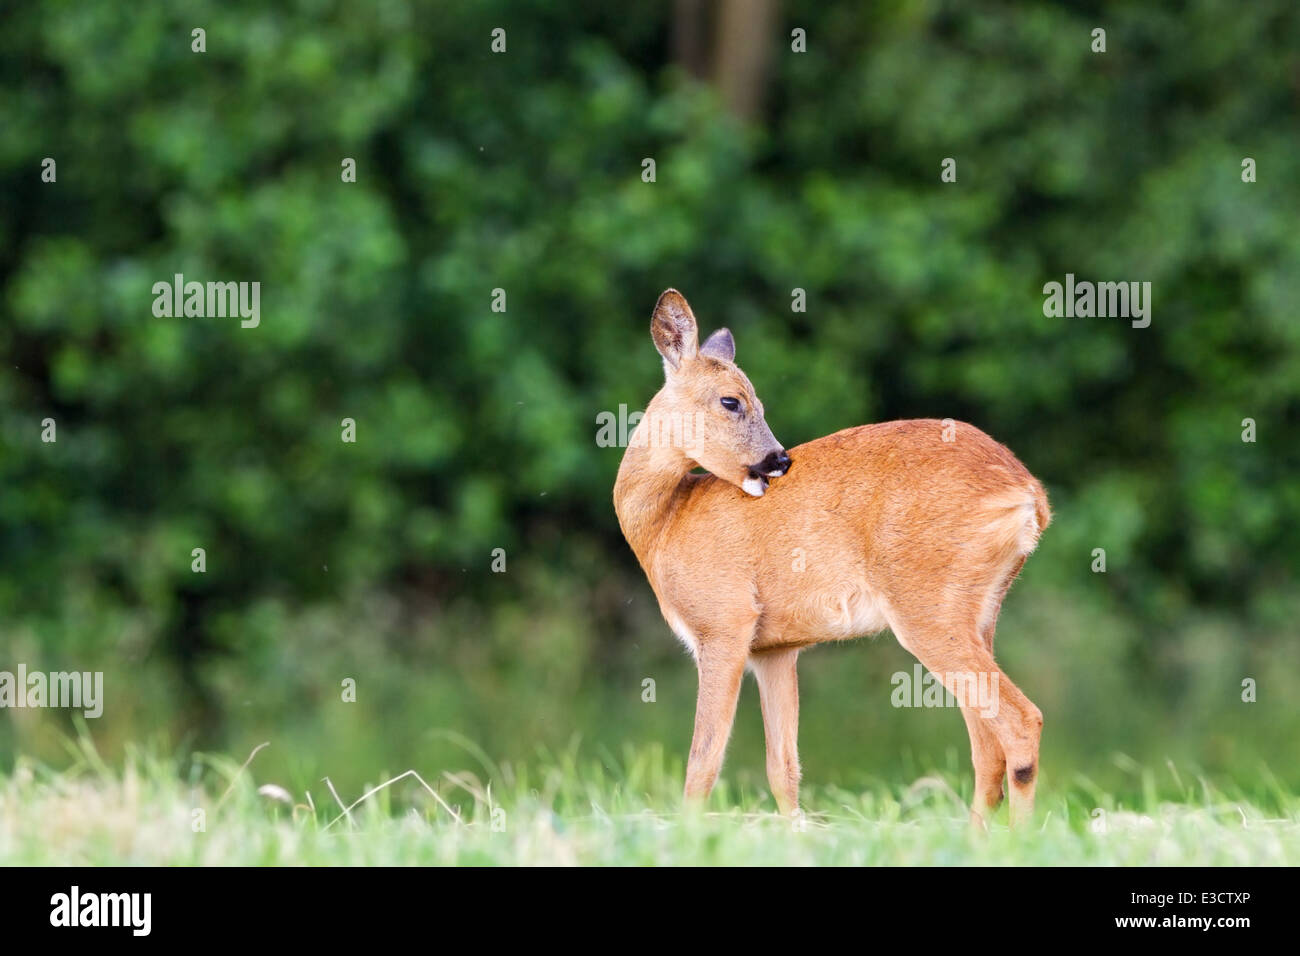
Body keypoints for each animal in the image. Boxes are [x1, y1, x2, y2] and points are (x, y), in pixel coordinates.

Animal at [613, 289, 1051, 827]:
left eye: (752, 400)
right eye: (731, 400)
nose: (779, 460)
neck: (666, 524)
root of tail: (1029, 493)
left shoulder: (724, 622)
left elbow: (703, 763)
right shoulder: (774, 648)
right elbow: (783, 770)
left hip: (928, 607)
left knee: (1021, 722)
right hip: (981, 612)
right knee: (986, 746)